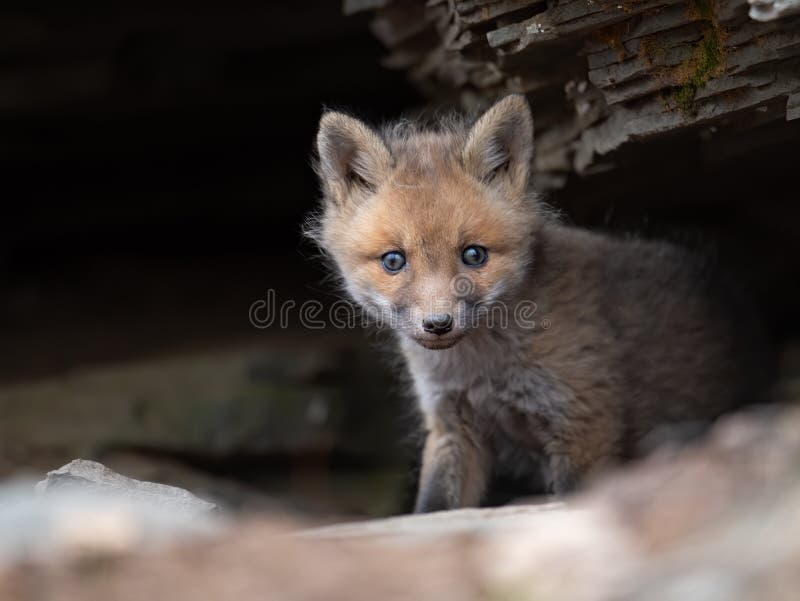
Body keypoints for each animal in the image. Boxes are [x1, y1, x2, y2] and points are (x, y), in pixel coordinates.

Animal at [309, 94, 772, 513]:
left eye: (473, 255)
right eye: (394, 261)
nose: (438, 323)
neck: (483, 370)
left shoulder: (583, 419)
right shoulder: (453, 425)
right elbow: (434, 507)